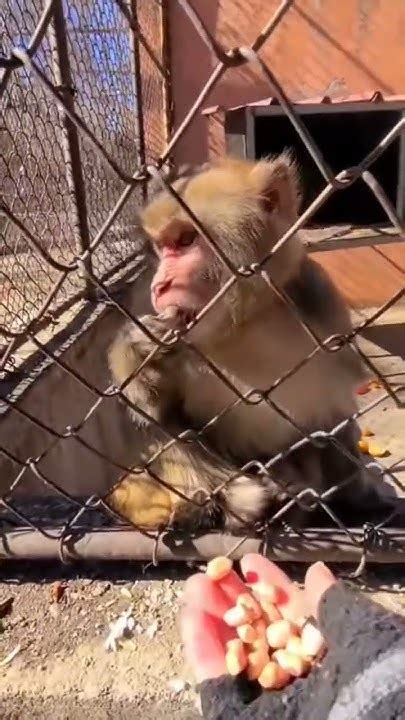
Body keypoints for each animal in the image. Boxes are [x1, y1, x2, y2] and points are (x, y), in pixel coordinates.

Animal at [105, 153, 390, 533]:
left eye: (185, 240)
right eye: (162, 247)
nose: (160, 285)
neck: (241, 323)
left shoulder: (323, 312)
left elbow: (331, 422)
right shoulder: (147, 310)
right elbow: (157, 415)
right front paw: (139, 359)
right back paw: (238, 500)